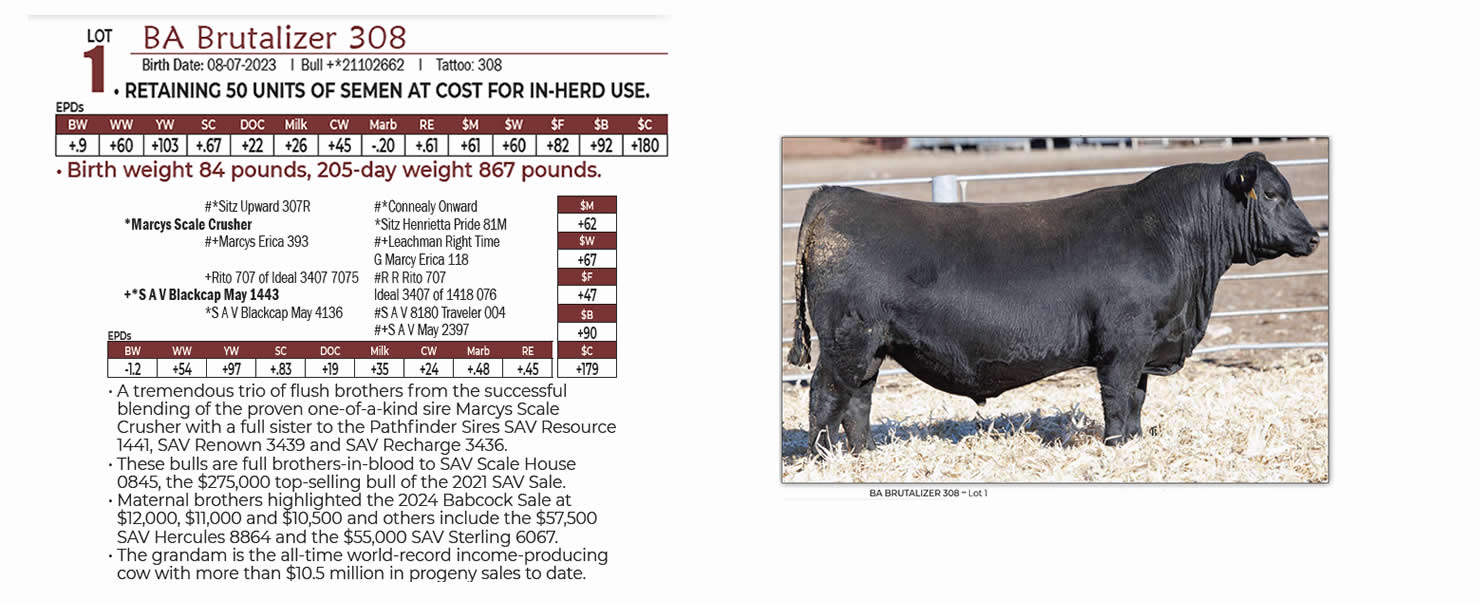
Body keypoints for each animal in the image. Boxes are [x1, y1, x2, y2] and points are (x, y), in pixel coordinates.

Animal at [786, 152, 1319, 455]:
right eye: (1273, 194)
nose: (1313, 236)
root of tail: (835, 196)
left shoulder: (1146, 346)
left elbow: (1138, 400)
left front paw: (1134, 443)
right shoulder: (1124, 345)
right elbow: (1119, 399)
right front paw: (1117, 446)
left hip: (870, 346)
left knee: (858, 399)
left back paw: (863, 454)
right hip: (846, 340)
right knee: (825, 396)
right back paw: (821, 458)